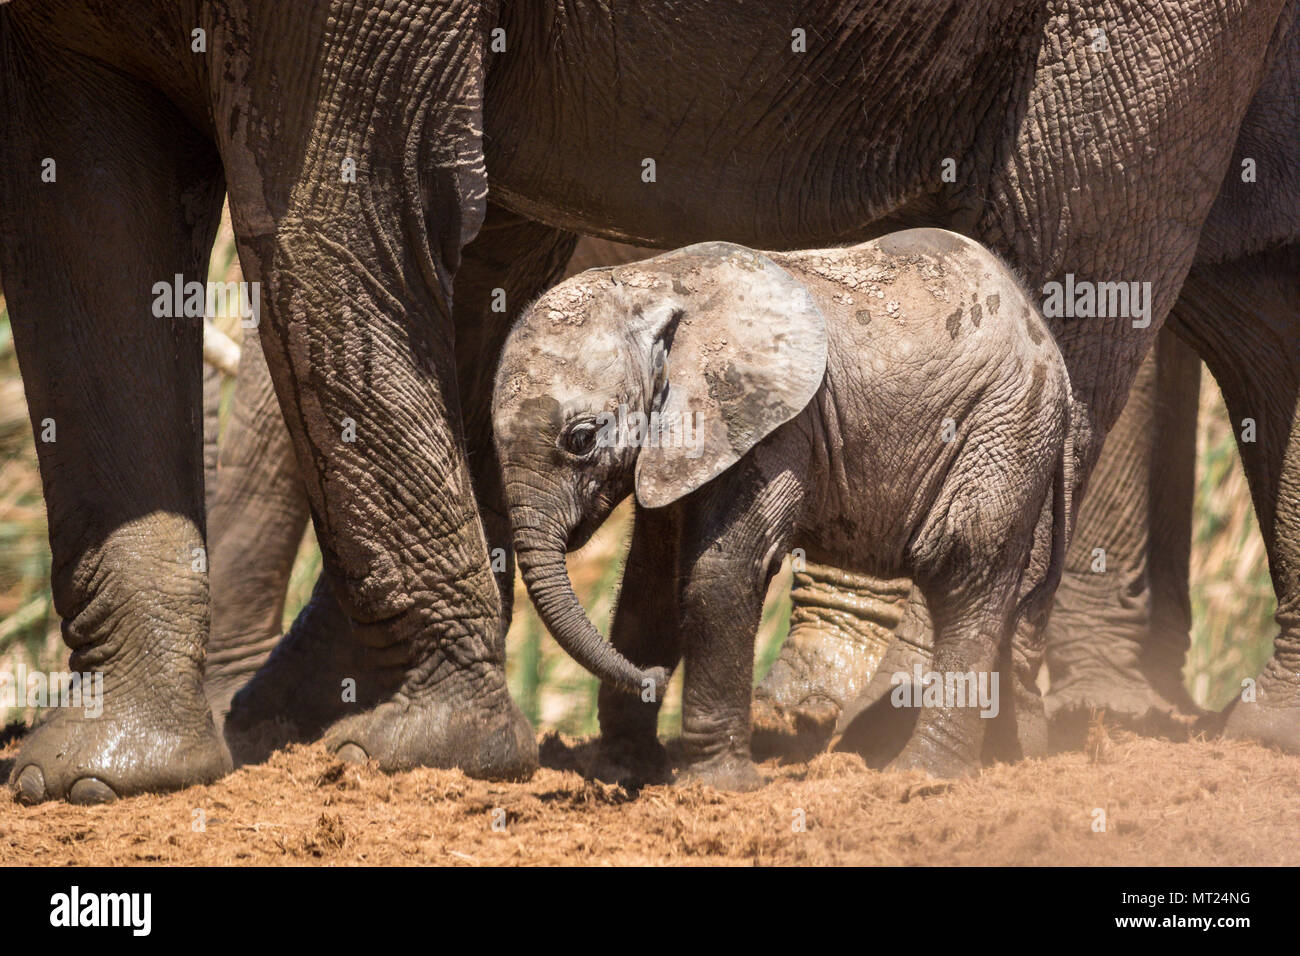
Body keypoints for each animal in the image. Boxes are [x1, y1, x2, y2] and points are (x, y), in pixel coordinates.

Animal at [493, 231, 1073, 785]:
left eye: (581, 439)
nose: (651, 678)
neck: (651, 281)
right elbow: (649, 583)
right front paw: (623, 774)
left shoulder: (777, 426)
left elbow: (722, 574)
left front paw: (721, 786)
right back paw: (1022, 760)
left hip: (1003, 425)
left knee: (964, 576)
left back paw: (923, 776)